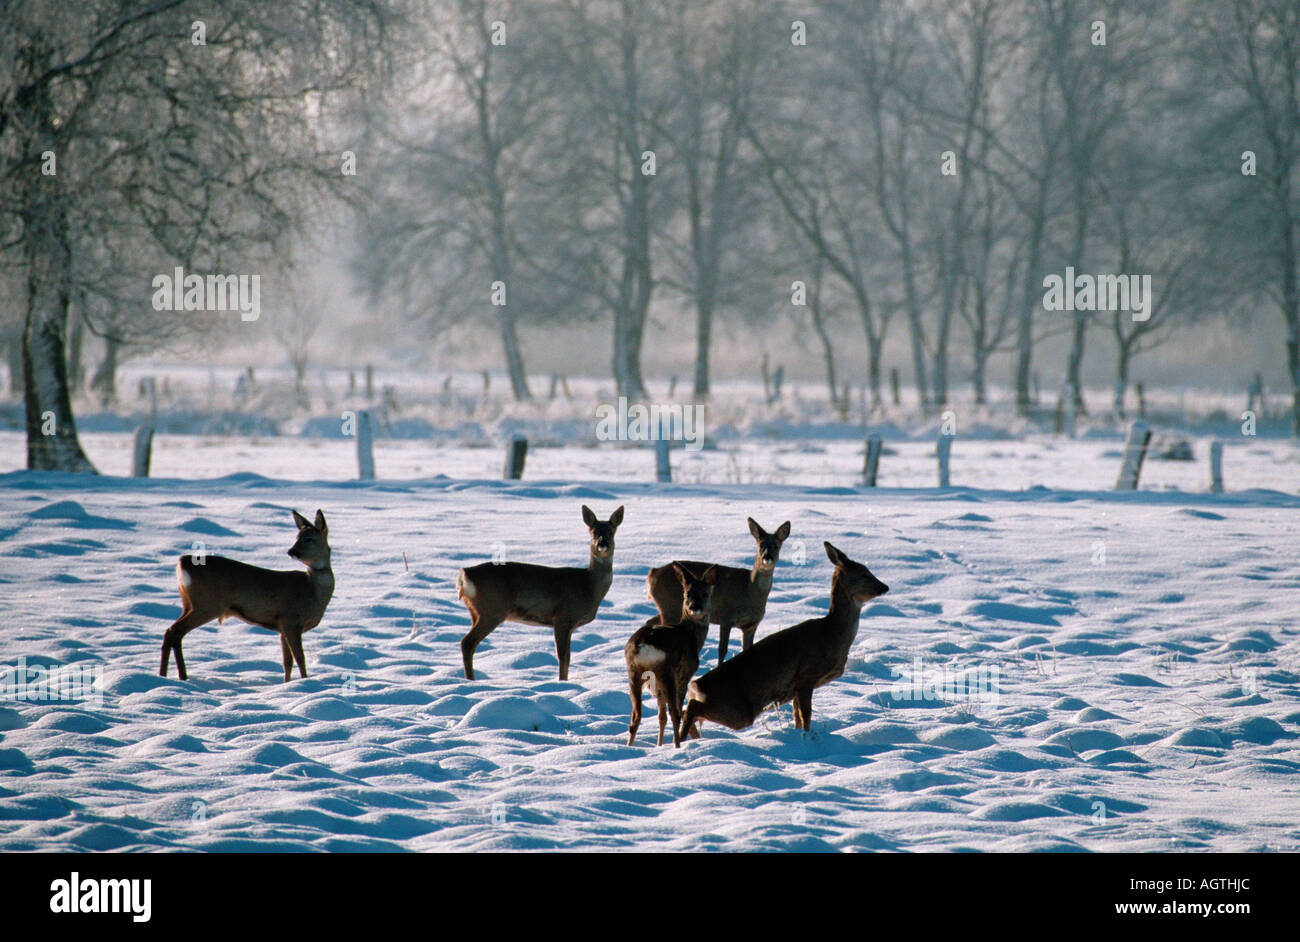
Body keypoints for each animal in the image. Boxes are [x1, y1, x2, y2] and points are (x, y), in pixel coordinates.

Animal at [159, 509, 334, 683]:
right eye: (297, 537)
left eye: (309, 539)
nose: (291, 551)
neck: (312, 590)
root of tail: (182, 563)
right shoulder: (290, 620)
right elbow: (300, 658)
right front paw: (305, 682)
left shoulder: (282, 626)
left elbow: (287, 662)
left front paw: (287, 684)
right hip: (208, 604)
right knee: (174, 631)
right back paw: (173, 676)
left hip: (188, 603)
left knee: (174, 633)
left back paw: (172, 676)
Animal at [457, 505, 623, 681]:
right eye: (593, 531)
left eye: (611, 531)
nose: (602, 543)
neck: (588, 585)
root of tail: (465, 574)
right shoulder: (563, 617)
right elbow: (563, 657)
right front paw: (562, 682)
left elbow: (567, 657)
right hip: (493, 609)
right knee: (467, 643)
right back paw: (471, 680)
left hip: (476, 611)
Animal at [625, 563, 717, 747]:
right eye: (687, 593)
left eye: (705, 593)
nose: (694, 607)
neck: (691, 636)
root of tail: (642, 645)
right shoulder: (685, 675)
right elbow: (674, 712)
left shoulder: (658, 687)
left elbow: (661, 717)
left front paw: (659, 746)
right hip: (666, 672)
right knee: (675, 713)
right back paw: (677, 745)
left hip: (634, 671)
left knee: (635, 717)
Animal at [645, 518, 790, 666]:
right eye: (760, 545)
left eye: (776, 546)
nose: (767, 557)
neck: (750, 589)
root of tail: (652, 574)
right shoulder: (726, 617)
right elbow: (722, 649)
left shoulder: (751, 625)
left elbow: (747, 650)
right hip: (670, 608)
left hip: (667, 608)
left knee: (650, 621)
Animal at [678, 542, 888, 742]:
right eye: (863, 574)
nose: (884, 587)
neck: (832, 634)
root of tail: (697, 685)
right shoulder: (806, 676)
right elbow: (806, 716)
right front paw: (807, 739)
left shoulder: (795, 688)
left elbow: (798, 718)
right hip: (740, 711)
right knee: (691, 708)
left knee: (687, 710)